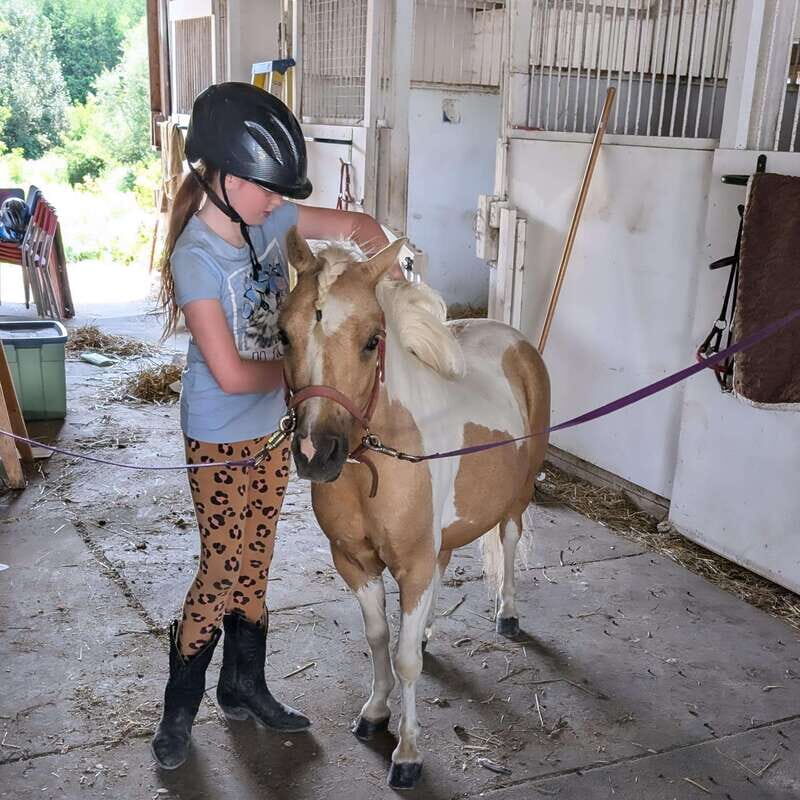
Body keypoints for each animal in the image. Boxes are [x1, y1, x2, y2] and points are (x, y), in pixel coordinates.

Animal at [278, 228, 550, 789]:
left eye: (371, 340)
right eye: (283, 335)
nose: (316, 453)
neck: (374, 467)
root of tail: (514, 339)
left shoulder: (413, 563)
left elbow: (404, 663)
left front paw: (407, 753)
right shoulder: (356, 562)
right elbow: (380, 638)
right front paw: (375, 712)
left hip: (516, 497)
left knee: (509, 542)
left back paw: (508, 614)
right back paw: (426, 629)